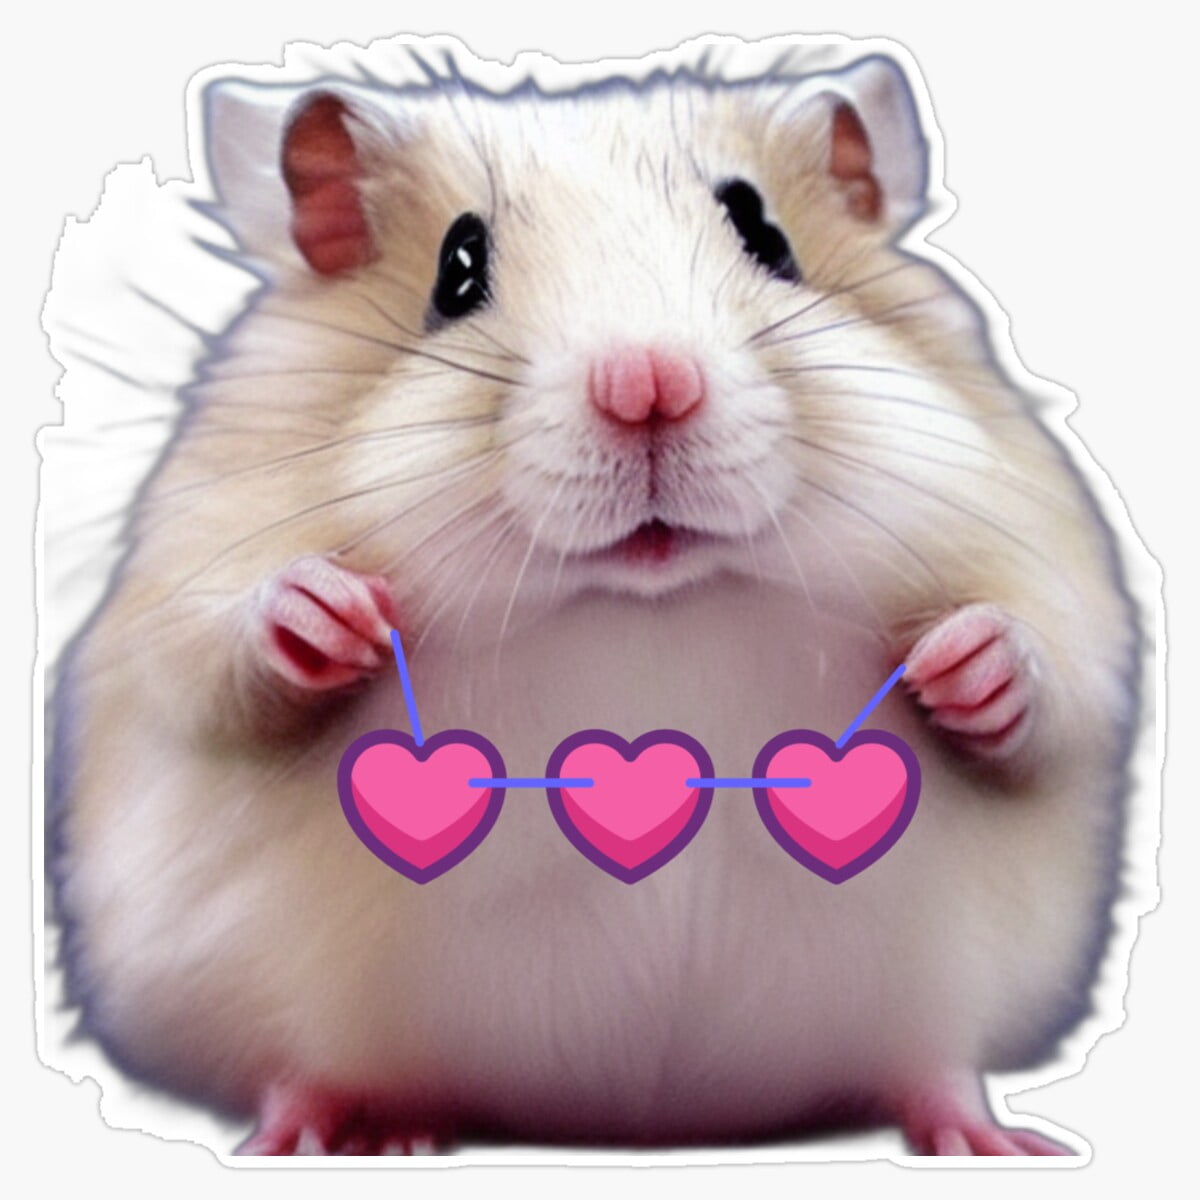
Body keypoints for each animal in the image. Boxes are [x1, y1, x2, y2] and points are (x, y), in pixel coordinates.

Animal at [49, 49, 1140, 1158]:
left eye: (765, 233)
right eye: (457, 268)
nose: (647, 384)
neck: (645, 599)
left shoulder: (1051, 573)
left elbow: (1044, 666)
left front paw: (959, 662)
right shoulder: (184, 584)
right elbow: (224, 656)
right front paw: (333, 612)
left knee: (935, 1067)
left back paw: (1002, 1145)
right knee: (305, 1068)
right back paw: (329, 1136)